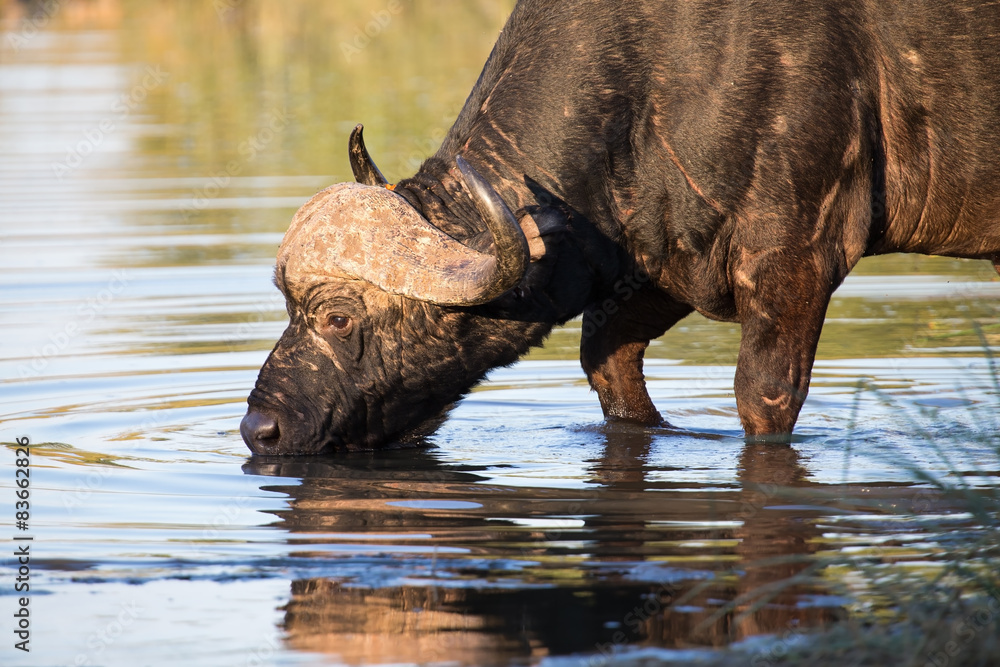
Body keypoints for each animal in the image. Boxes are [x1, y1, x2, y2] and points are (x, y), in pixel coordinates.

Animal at [241, 0, 1000, 454]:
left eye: (337, 317)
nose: (259, 429)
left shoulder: (793, 262)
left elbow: (764, 397)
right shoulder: (656, 263)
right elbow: (608, 368)